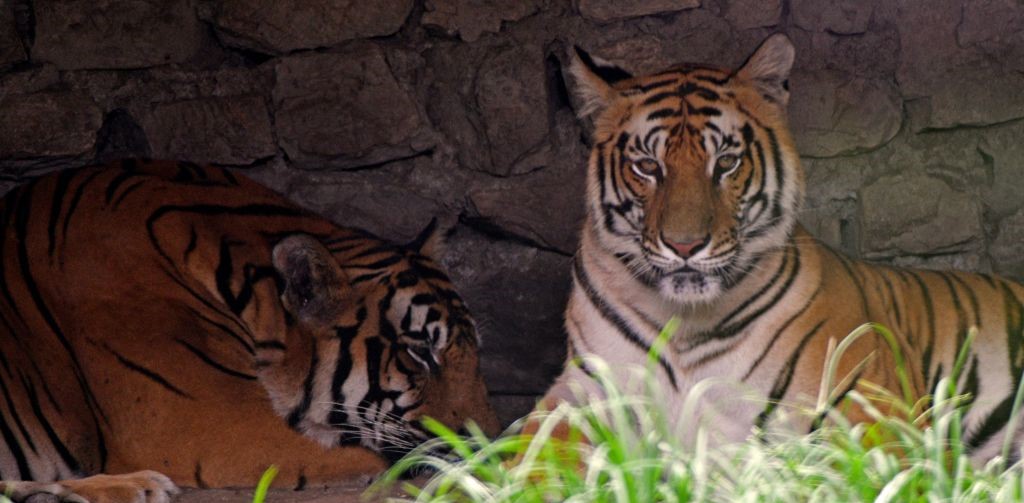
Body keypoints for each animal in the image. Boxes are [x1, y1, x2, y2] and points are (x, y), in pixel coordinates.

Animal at [542, 33, 1024, 459]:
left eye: (726, 162)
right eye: (647, 166)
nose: (685, 246)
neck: (683, 322)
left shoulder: (873, 403)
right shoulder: (580, 392)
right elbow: (536, 457)